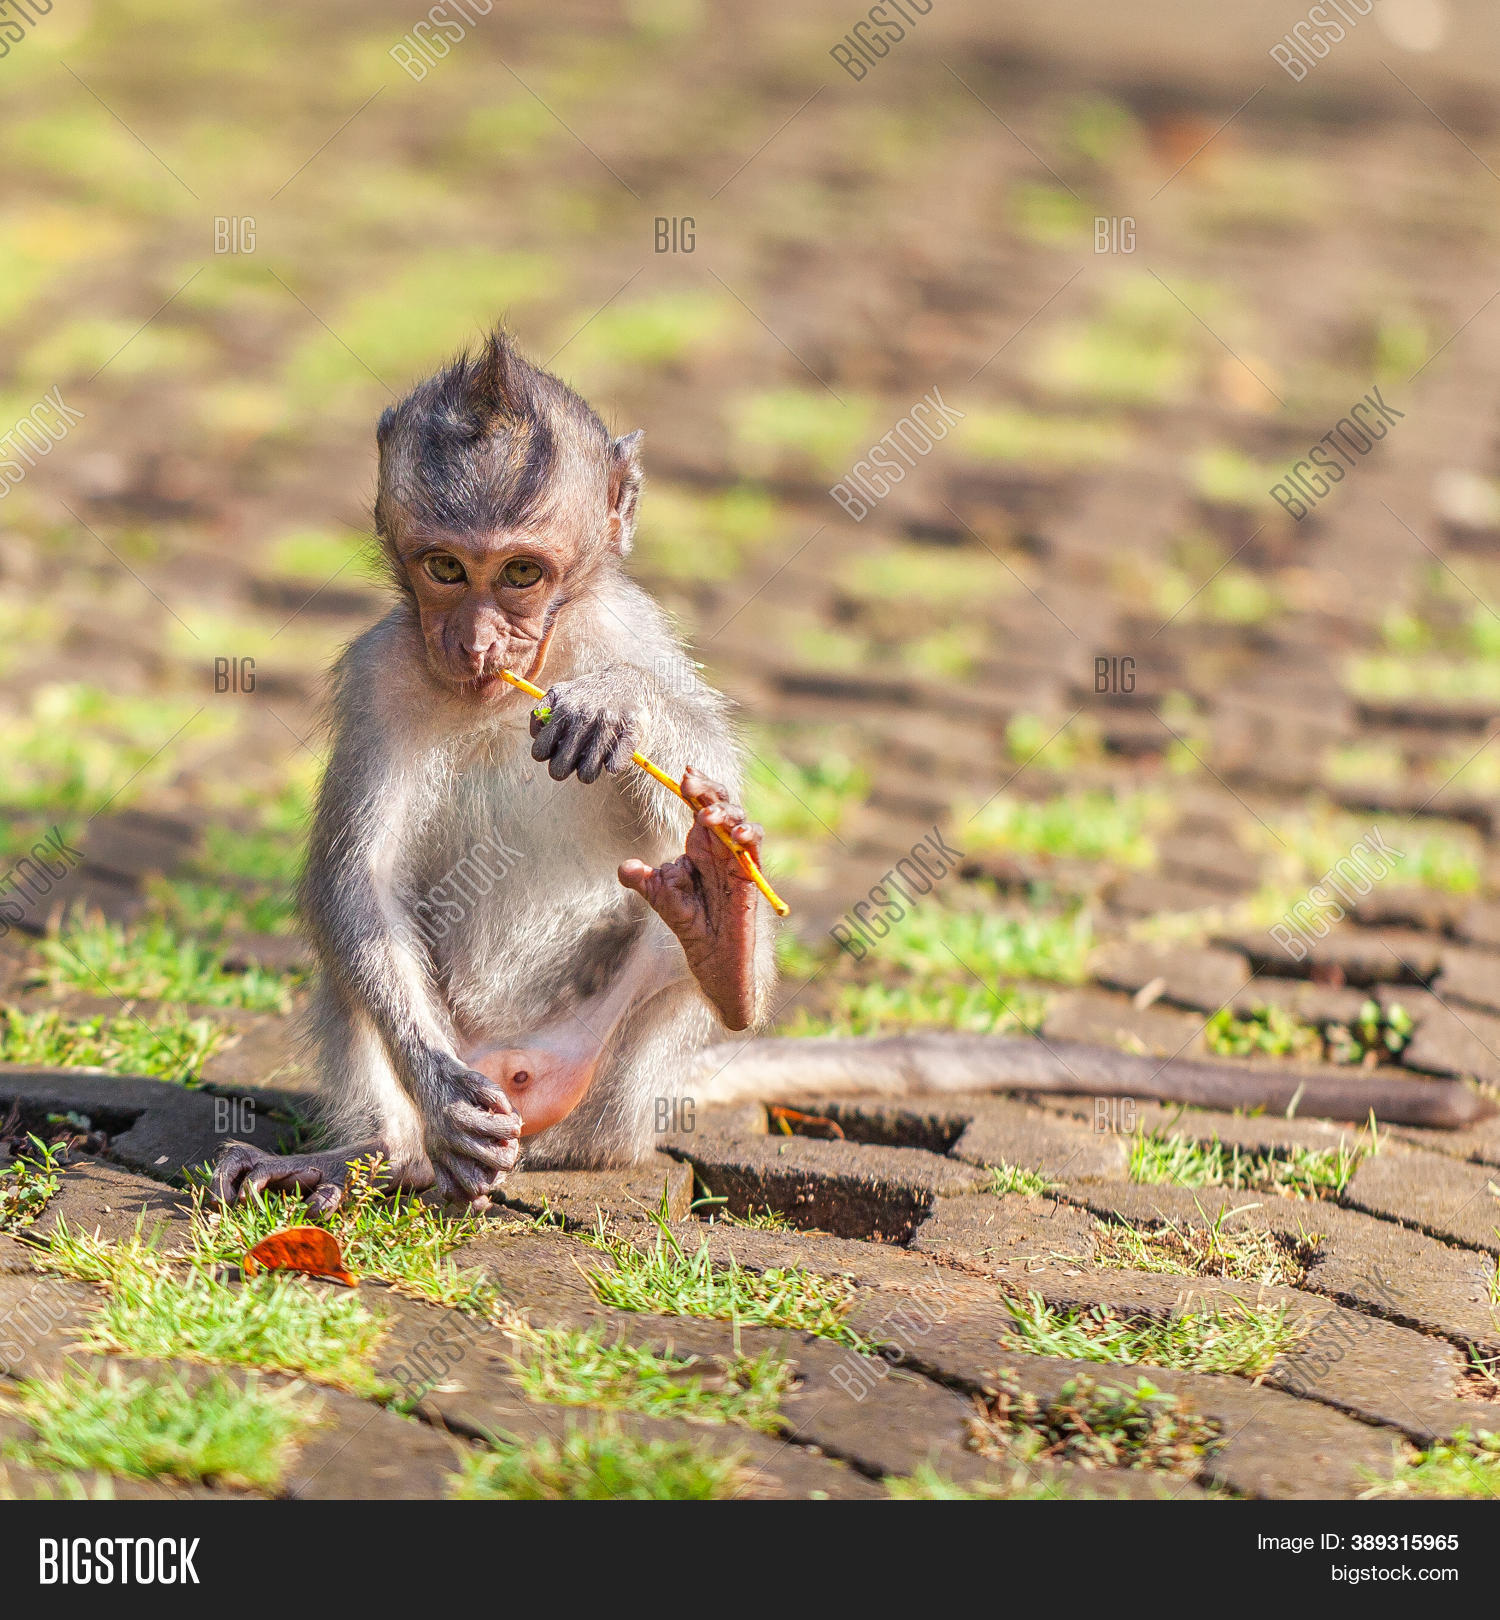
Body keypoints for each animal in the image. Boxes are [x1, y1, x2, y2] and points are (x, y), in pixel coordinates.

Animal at [211, 331, 1490, 1214]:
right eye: (444, 567)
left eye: (522, 572)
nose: (479, 644)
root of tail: (545, 1087)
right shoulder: (381, 671)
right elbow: (355, 883)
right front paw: (426, 1094)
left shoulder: (630, 627)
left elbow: (704, 772)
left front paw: (614, 716)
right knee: (354, 959)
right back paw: (374, 1151)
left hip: (607, 1091)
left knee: (685, 925)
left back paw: (720, 936)